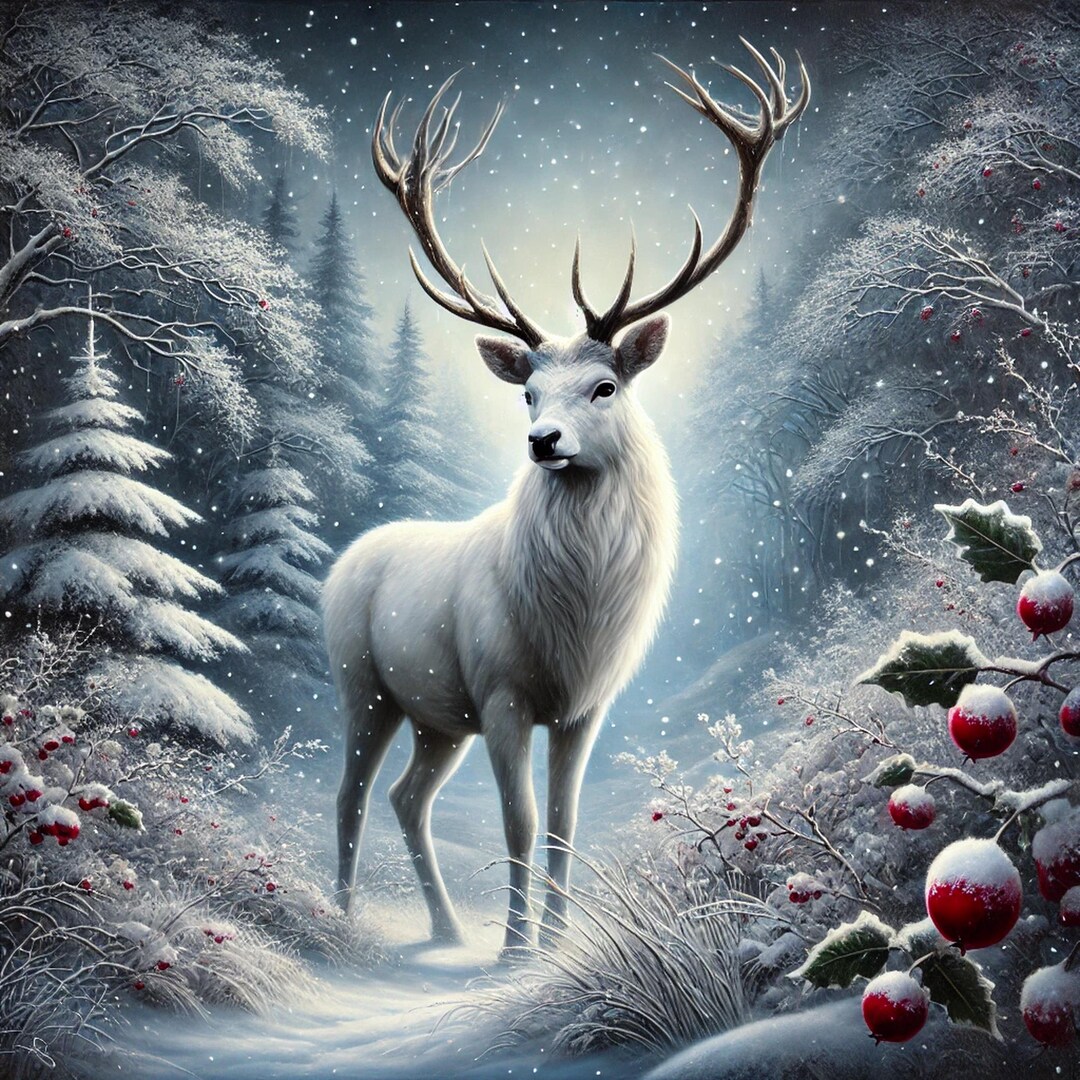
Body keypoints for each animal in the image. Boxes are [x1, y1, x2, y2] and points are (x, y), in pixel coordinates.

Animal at [324, 41, 809, 958]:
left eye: (604, 386)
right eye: (527, 393)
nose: (543, 442)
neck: (572, 624)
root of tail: (343, 562)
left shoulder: (585, 709)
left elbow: (562, 826)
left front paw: (552, 945)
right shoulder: (502, 693)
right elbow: (517, 825)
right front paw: (517, 948)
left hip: (437, 717)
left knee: (408, 797)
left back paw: (448, 929)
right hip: (363, 685)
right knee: (351, 795)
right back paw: (341, 917)